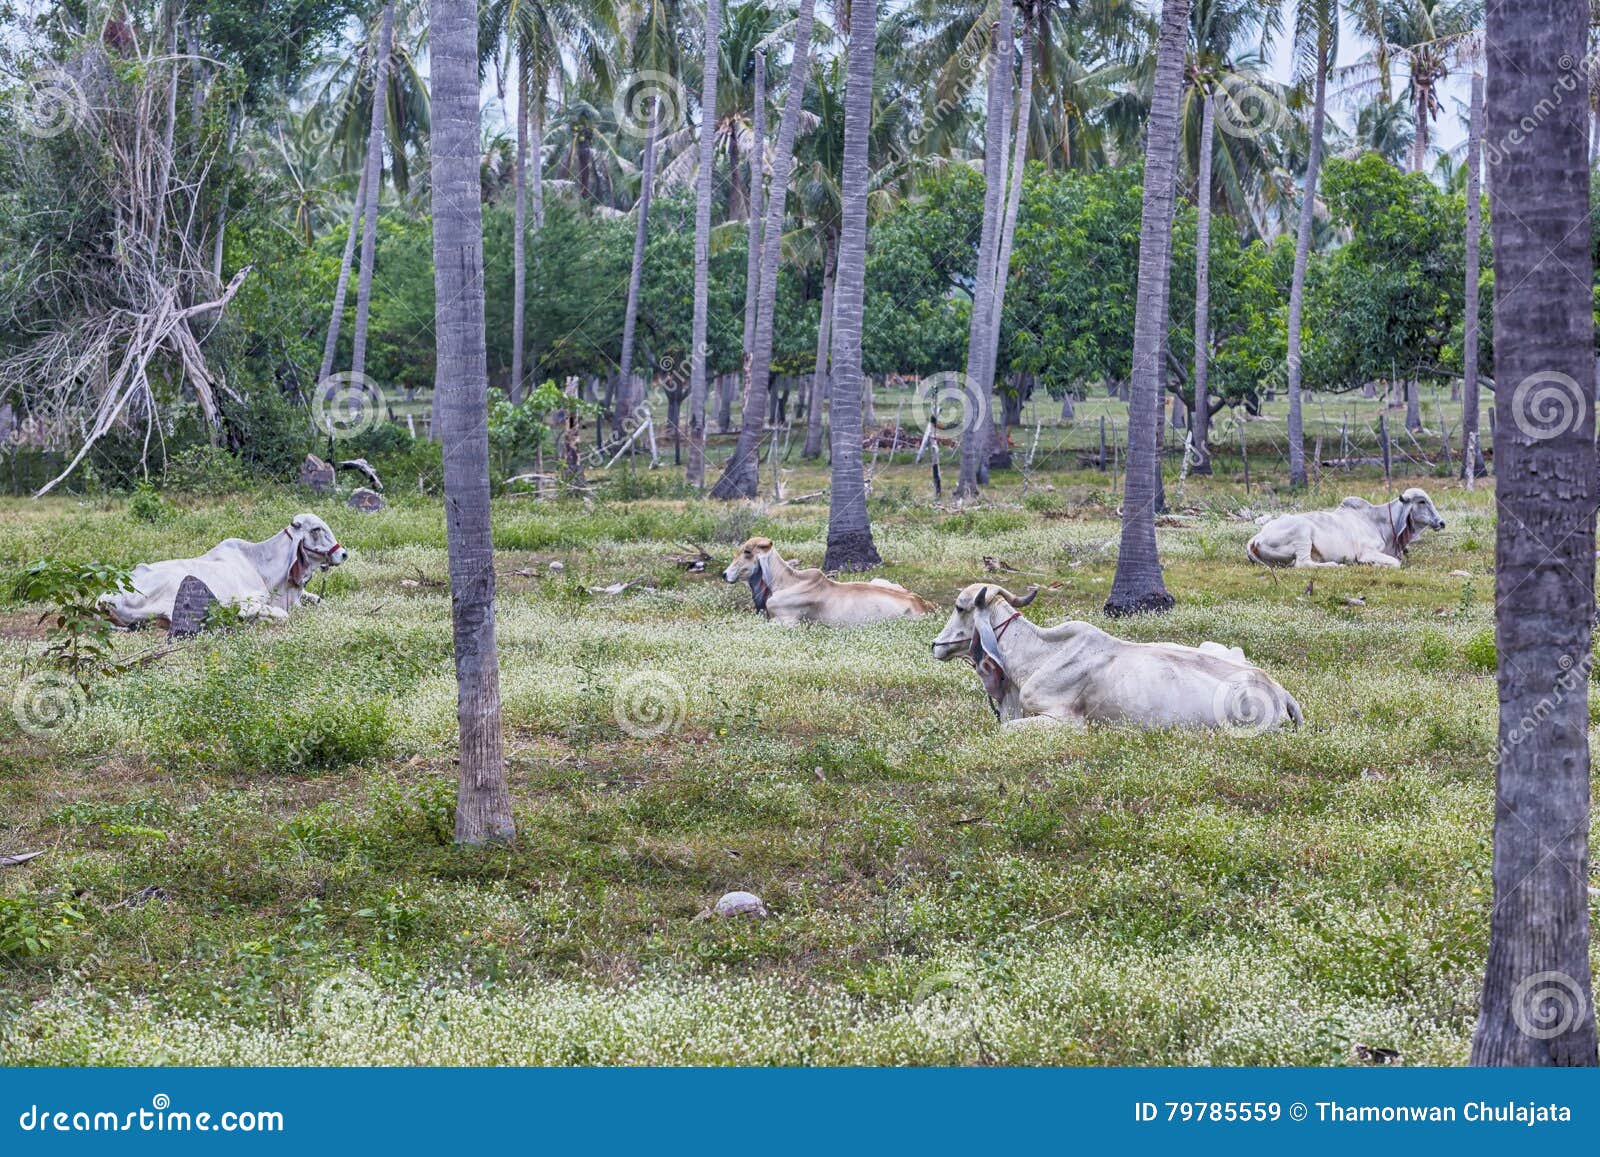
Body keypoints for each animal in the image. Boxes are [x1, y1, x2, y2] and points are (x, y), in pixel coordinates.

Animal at [99, 514, 348, 628]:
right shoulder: (249, 599)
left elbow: (318, 600)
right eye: (316, 529)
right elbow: (280, 614)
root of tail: (103, 597)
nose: (344, 554)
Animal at [1246, 488, 1446, 568]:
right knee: (1303, 563)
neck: (1379, 522)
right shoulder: (1366, 551)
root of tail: (1257, 538)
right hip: (1302, 533)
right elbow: (1396, 563)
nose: (1441, 522)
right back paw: (1335, 565)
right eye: (1422, 501)